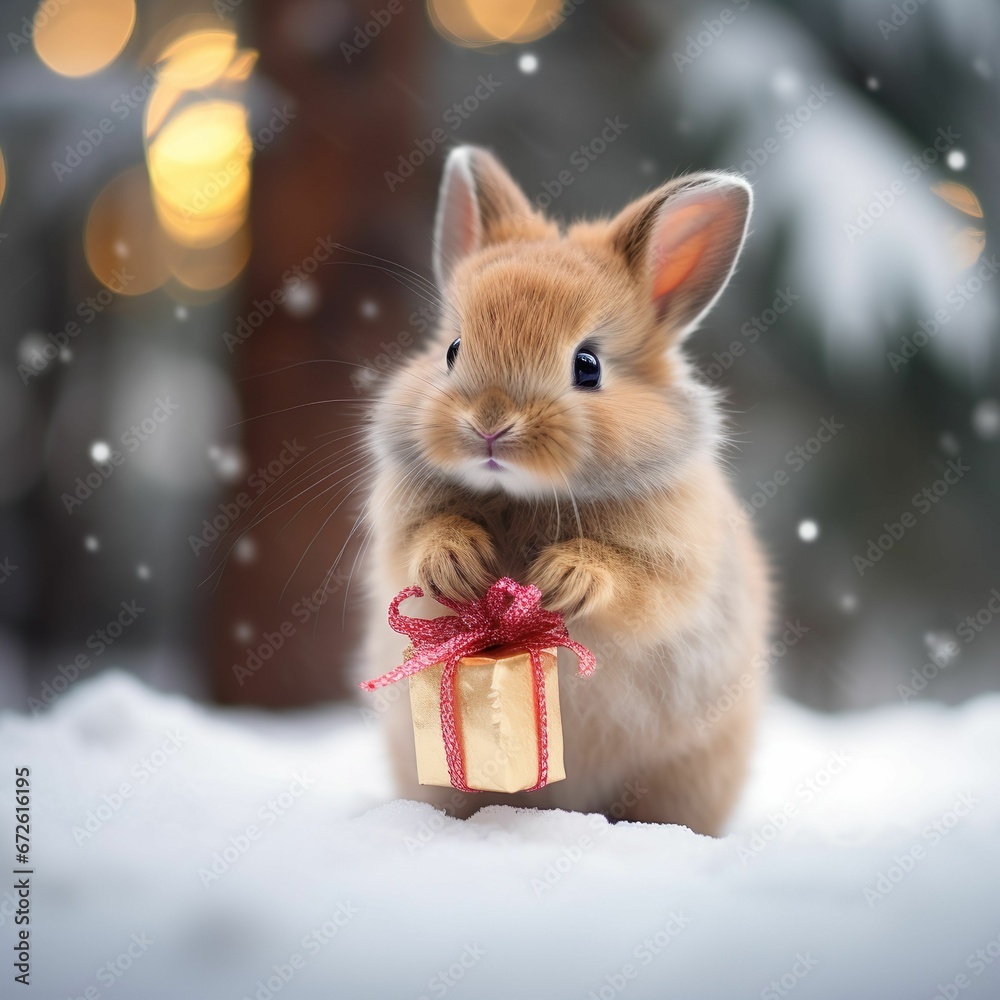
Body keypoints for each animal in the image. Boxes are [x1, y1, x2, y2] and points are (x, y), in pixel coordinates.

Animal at [361, 145, 770, 835]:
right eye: (451, 349)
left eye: (589, 366)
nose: (490, 423)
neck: (521, 496)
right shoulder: (398, 532)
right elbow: (420, 545)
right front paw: (458, 565)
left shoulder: (677, 564)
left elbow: (637, 586)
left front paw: (564, 579)